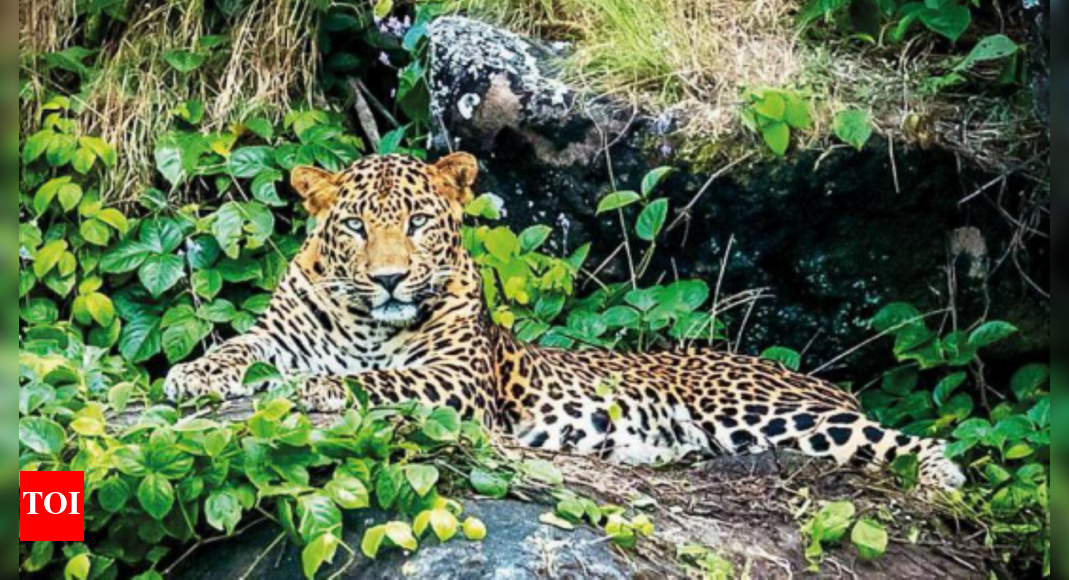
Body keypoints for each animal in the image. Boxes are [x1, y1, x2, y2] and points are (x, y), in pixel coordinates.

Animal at [164, 153, 966, 491]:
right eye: (357, 227)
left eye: (418, 223)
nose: (390, 277)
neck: (366, 320)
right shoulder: (279, 336)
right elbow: (236, 346)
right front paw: (188, 373)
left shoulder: (459, 380)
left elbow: (389, 379)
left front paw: (330, 388)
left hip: (766, 411)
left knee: (895, 440)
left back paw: (940, 475)